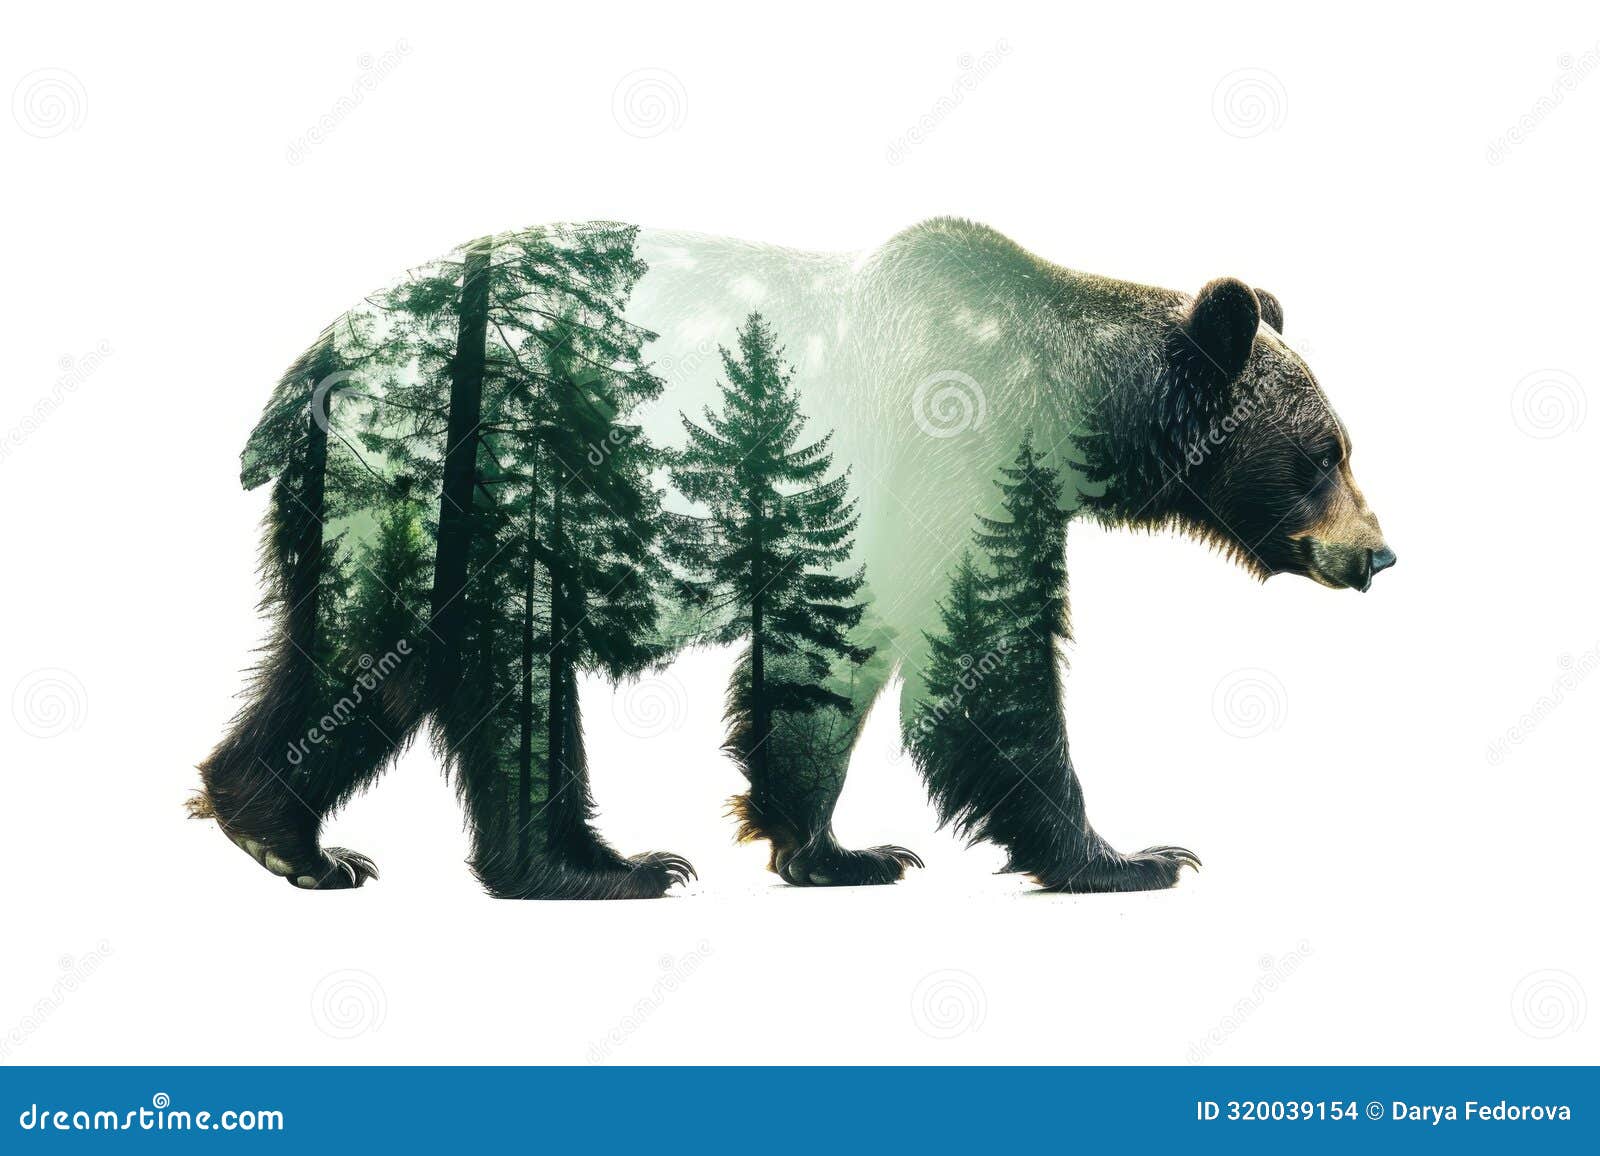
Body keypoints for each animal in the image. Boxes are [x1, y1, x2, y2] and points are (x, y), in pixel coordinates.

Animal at [192, 217, 1394, 898]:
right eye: (1321, 452)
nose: (1376, 553)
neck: (1057, 393)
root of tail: (315, 363)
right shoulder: (946, 445)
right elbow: (981, 666)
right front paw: (1126, 855)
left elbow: (830, 666)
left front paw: (823, 843)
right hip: (470, 468)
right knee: (458, 660)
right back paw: (582, 867)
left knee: (377, 660)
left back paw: (287, 830)